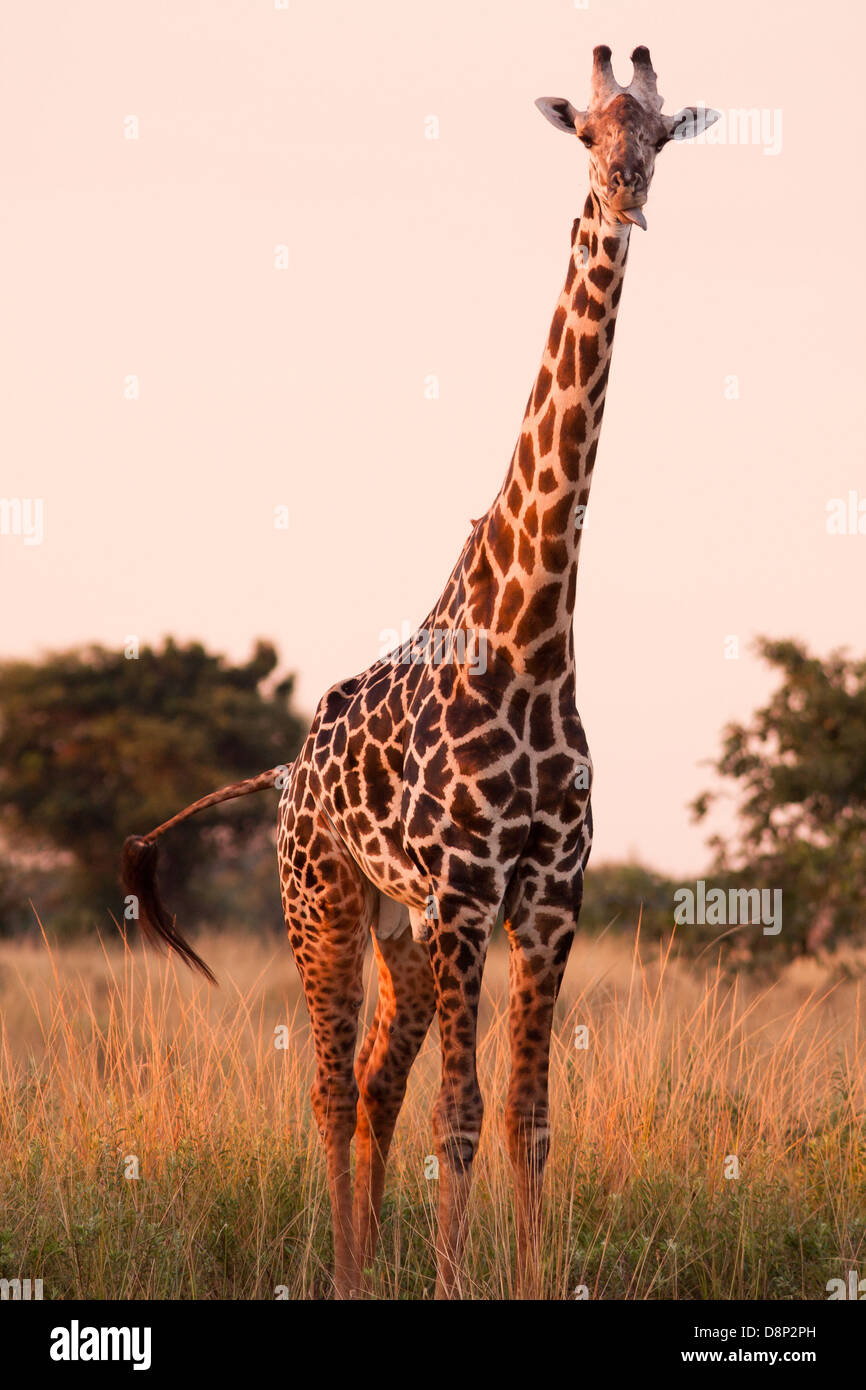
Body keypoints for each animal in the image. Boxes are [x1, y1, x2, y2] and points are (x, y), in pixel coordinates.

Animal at [122, 45, 719, 1300]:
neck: (534, 638)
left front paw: (528, 1277)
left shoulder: (546, 894)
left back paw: (359, 1266)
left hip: (395, 929)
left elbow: (527, 1117)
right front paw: (451, 1281)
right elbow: (464, 1112)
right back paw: (347, 1272)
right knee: (330, 1084)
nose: (624, 194)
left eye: (658, 137)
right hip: (323, 900)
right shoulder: (465, 890)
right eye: (585, 131)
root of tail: (283, 772)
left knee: (372, 1088)